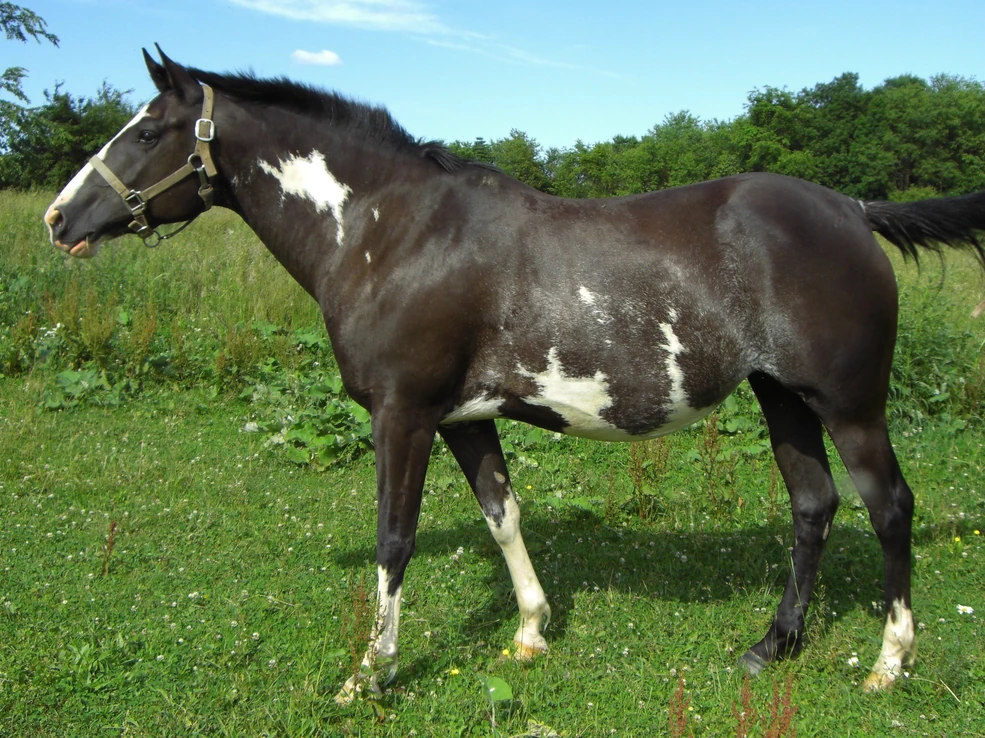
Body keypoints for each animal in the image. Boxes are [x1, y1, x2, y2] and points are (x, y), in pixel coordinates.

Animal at [44, 48, 985, 701]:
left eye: (147, 131)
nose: (58, 219)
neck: (393, 232)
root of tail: (849, 209)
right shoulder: (463, 416)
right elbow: (501, 513)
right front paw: (531, 631)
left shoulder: (404, 414)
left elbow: (394, 540)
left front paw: (370, 673)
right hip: (781, 395)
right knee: (812, 507)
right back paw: (770, 645)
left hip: (849, 404)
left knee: (888, 509)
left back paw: (887, 663)